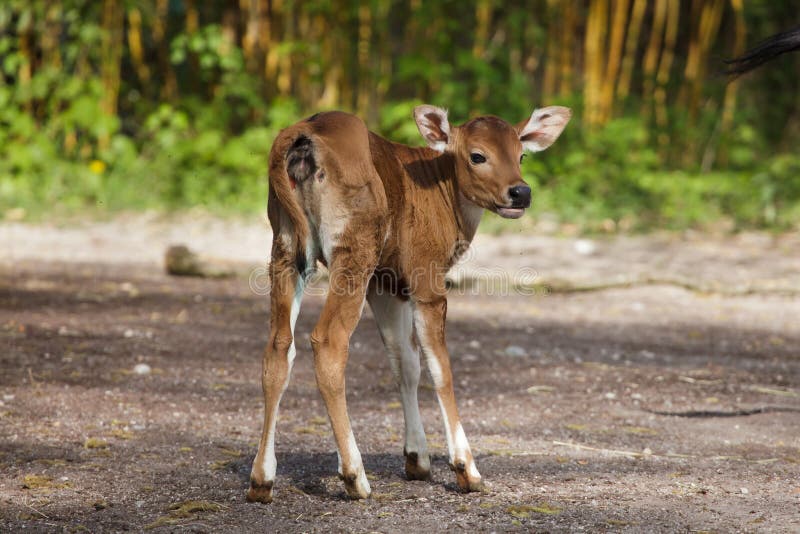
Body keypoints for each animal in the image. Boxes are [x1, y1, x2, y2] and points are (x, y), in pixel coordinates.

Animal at [246, 104, 571, 503]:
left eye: (521, 154)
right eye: (477, 155)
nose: (520, 192)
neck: (440, 195)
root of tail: (303, 138)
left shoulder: (387, 282)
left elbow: (406, 363)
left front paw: (417, 458)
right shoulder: (425, 275)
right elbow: (440, 368)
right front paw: (466, 469)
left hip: (285, 246)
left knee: (278, 346)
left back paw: (262, 479)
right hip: (354, 247)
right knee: (328, 342)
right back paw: (355, 477)